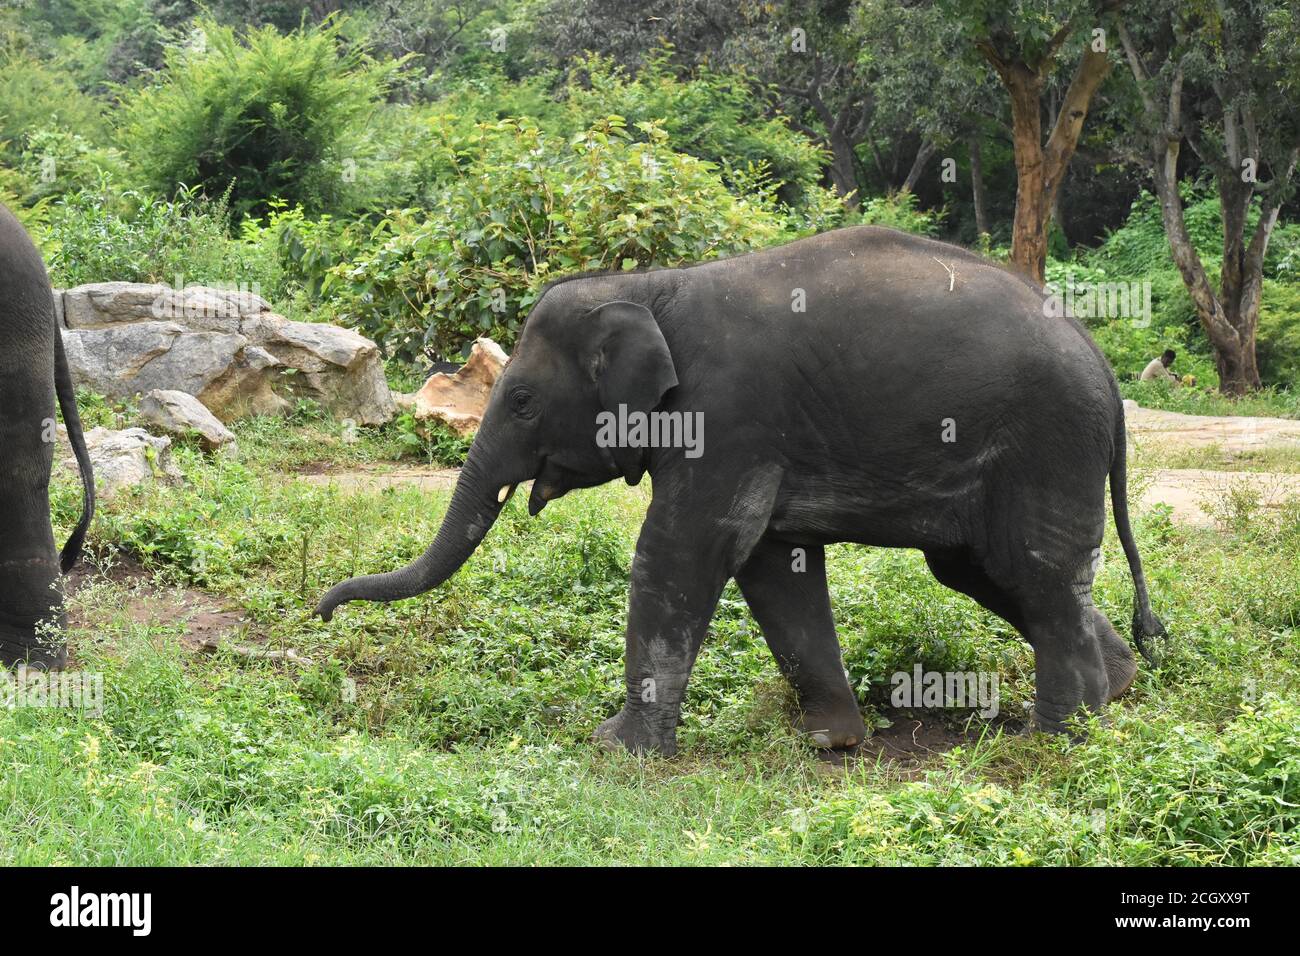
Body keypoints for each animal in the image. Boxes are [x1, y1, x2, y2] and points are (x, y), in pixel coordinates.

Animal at [317, 225, 1167, 755]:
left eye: (522, 400)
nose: (322, 613)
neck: (649, 286)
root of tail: (1102, 362)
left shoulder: (728, 416)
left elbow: (686, 550)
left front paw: (616, 750)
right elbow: (773, 565)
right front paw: (830, 741)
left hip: (1046, 444)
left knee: (1033, 572)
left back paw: (1054, 739)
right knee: (985, 571)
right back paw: (1116, 689)